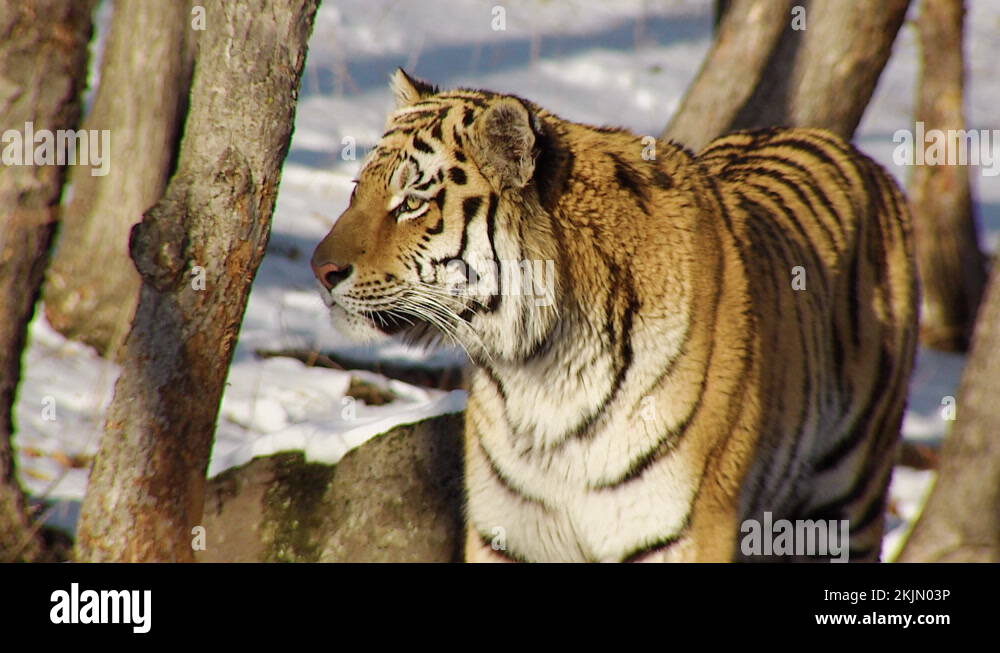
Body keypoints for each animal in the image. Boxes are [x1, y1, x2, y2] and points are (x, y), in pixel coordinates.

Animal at [311, 69, 918, 563]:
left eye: (412, 203)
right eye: (356, 189)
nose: (320, 269)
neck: (538, 369)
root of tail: (856, 154)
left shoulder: (678, 530)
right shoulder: (510, 533)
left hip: (849, 500)